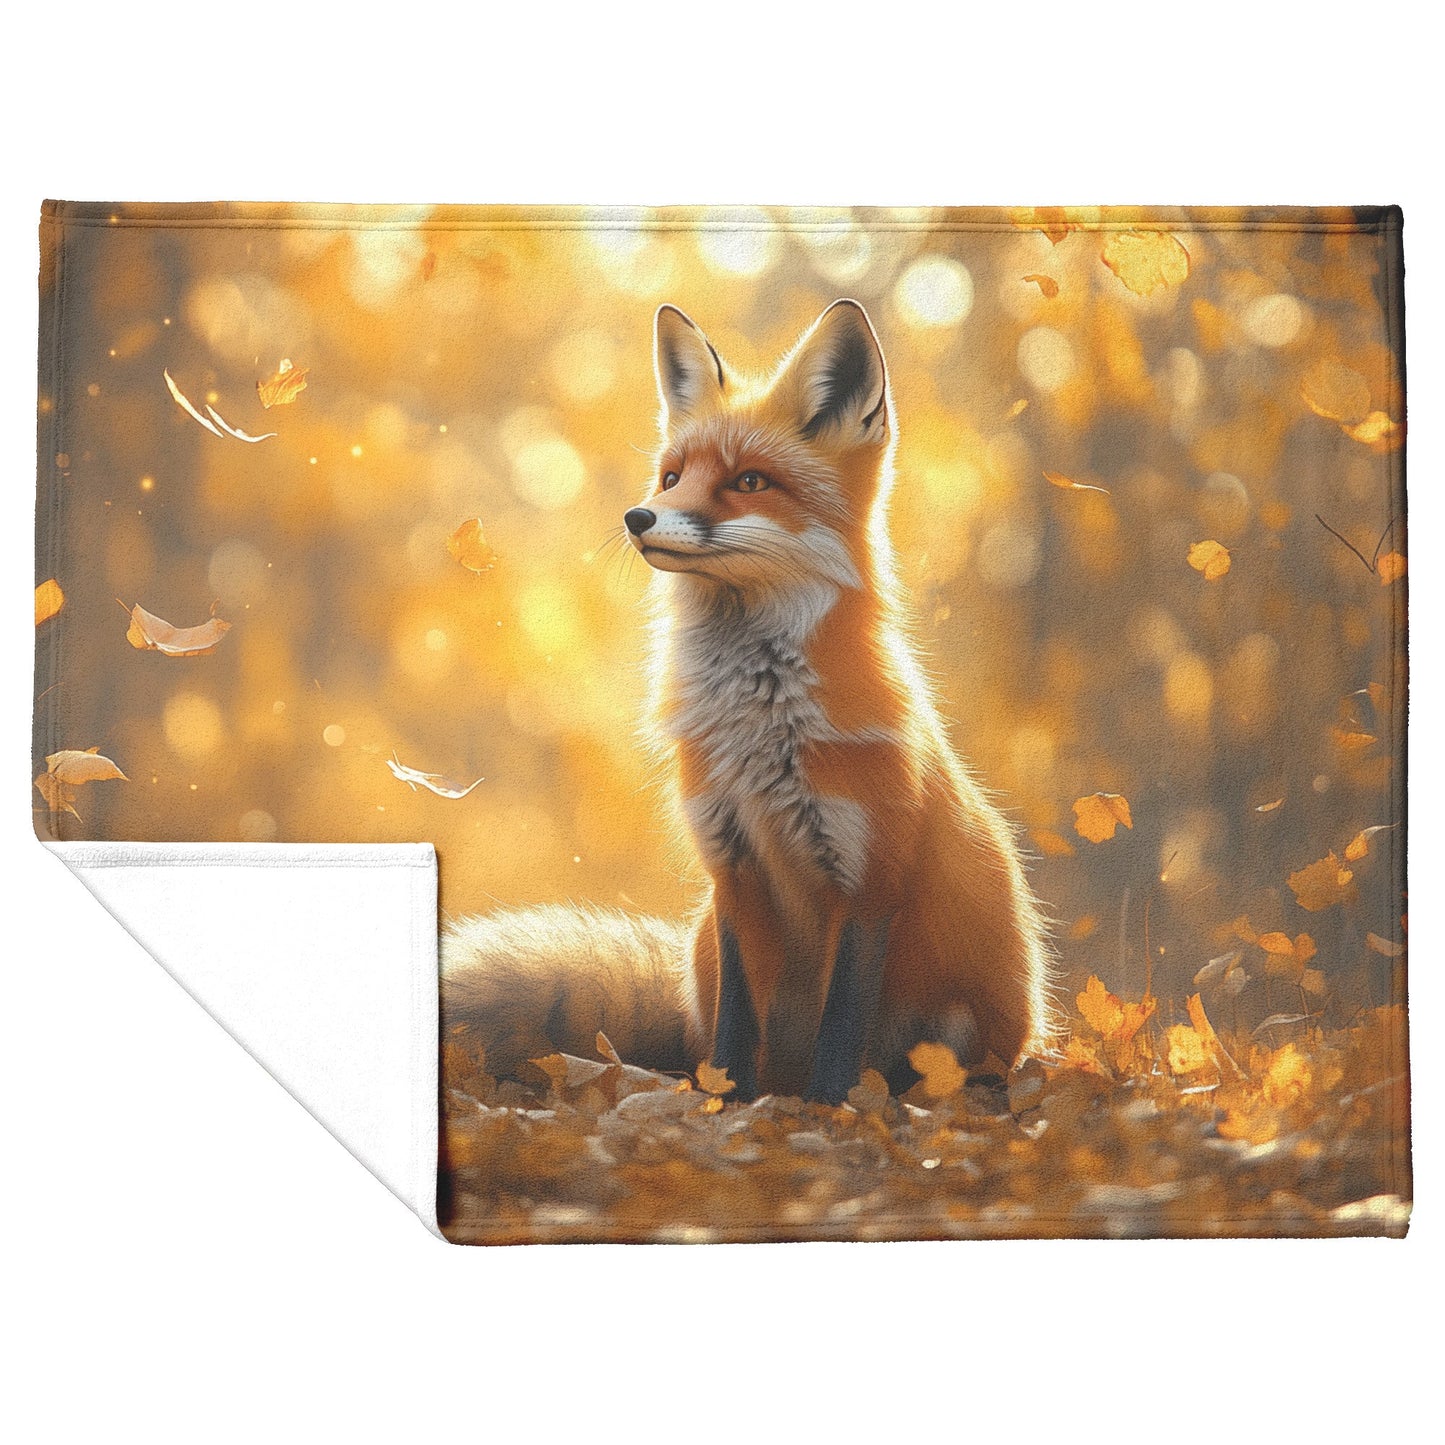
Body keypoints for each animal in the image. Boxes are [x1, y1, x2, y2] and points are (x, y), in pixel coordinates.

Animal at [442, 299, 1054, 1103]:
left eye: (750, 481)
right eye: (672, 476)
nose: (638, 516)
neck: (760, 730)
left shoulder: (868, 881)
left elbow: (841, 1027)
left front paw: (831, 1109)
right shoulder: (729, 867)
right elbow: (735, 1026)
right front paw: (722, 1101)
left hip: (959, 1028)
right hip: (703, 947)